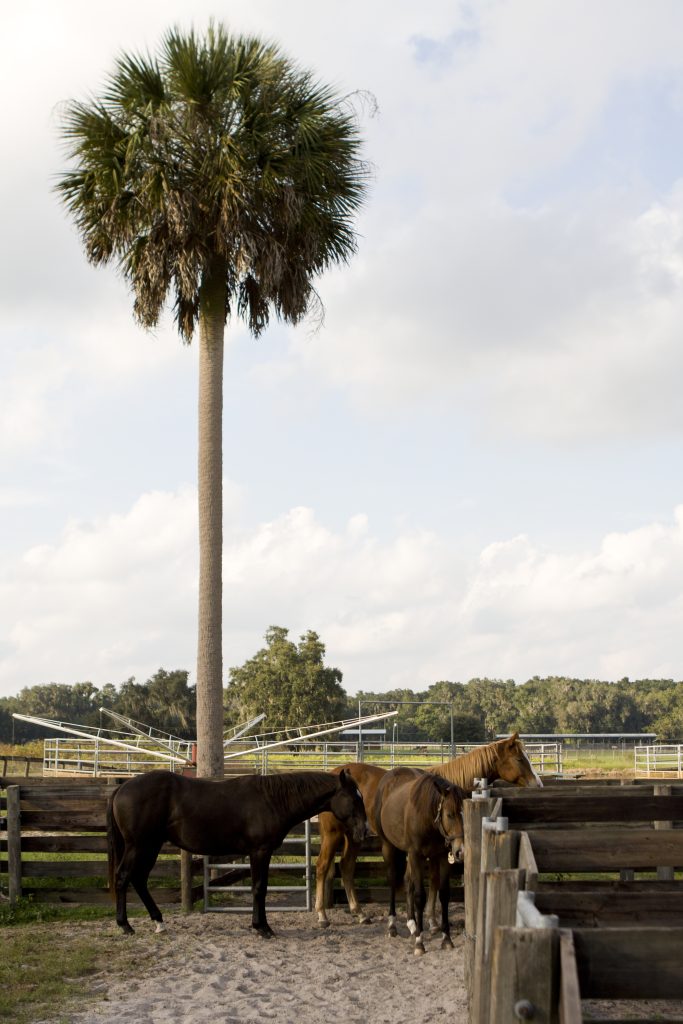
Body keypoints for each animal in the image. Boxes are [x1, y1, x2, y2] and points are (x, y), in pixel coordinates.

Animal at [107, 768, 367, 937]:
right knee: (123, 878)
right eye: (353, 799)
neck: (272, 800)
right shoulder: (260, 852)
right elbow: (259, 888)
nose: (364, 831)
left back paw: (159, 923)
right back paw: (125, 925)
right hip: (139, 846)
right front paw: (262, 927)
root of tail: (122, 787)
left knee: (138, 880)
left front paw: (260, 925)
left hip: (150, 846)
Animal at [314, 732, 541, 927]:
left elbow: (432, 881)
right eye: (519, 759)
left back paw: (359, 912)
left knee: (346, 867)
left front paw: (429, 918)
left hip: (353, 836)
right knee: (322, 867)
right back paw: (322, 915)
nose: (538, 784)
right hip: (333, 835)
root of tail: (333, 774)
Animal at [374, 767, 465, 955]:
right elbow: (420, 896)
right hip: (388, 846)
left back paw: (412, 924)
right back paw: (392, 926)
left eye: (464, 813)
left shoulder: (441, 856)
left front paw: (446, 939)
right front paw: (419, 943)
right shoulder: (416, 855)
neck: (427, 816)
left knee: (407, 881)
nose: (460, 851)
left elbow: (443, 894)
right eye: (449, 814)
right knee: (393, 881)